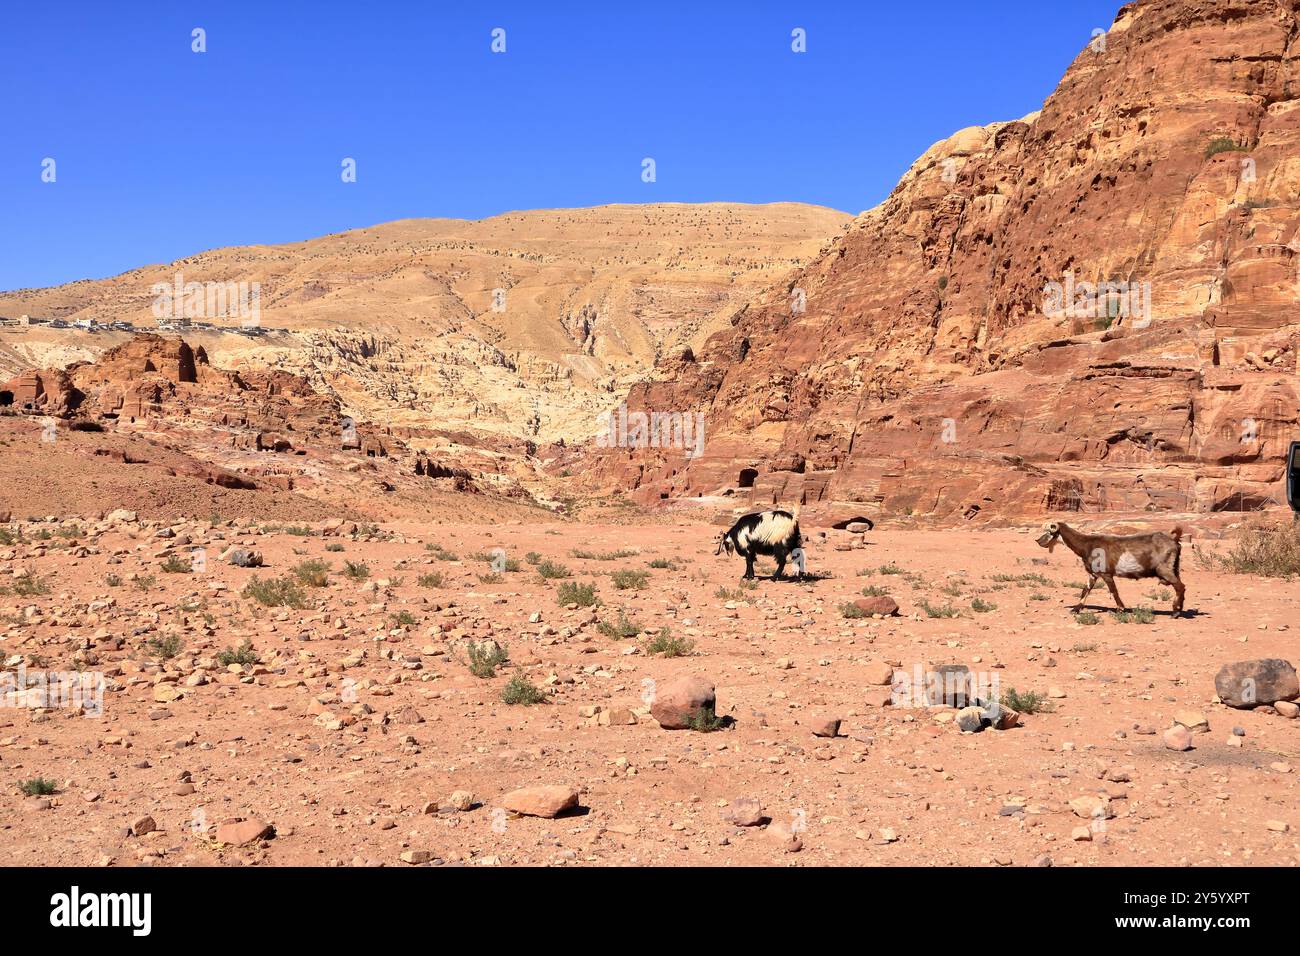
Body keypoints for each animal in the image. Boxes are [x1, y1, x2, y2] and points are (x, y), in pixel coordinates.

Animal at [1035, 521, 1185, 615]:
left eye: (1049, 532)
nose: (1037, 541)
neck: (1086, 545)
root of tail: (1174, 541)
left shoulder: (1106, 574)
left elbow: (1113, 591)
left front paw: (1121, 609)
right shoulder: (1093, 574)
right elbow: (1085, 590)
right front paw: (1076, 609)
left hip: (1164, 569)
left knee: (1180, 586)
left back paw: (1176, 611)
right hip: (1174, 568)